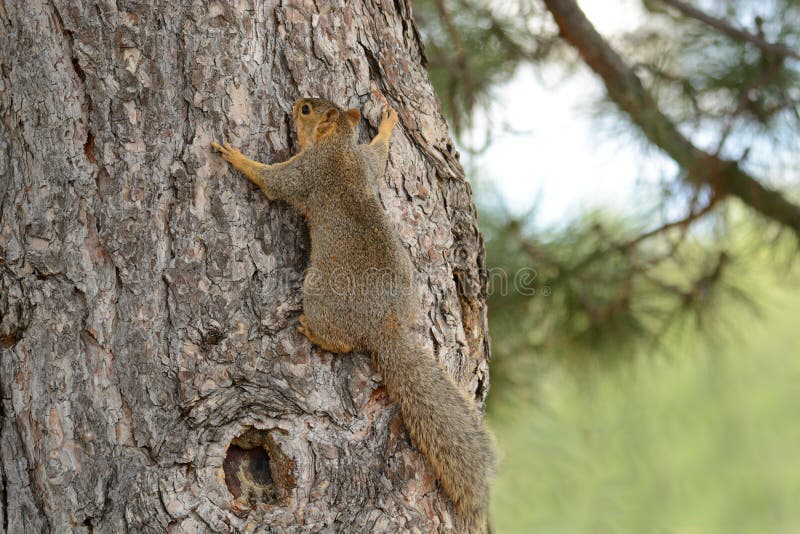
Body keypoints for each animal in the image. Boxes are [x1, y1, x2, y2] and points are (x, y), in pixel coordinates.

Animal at [212, 97, 495, 531]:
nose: (295, 103)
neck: (340, 146)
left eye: (307, 110)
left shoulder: (307, 172)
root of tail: (384, 324)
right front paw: (389, 124)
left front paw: (235, 156)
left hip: (319, 293)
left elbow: (274, 182)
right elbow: (378, 157)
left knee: (343, 342)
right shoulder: (364, 162)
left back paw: (312, 331)